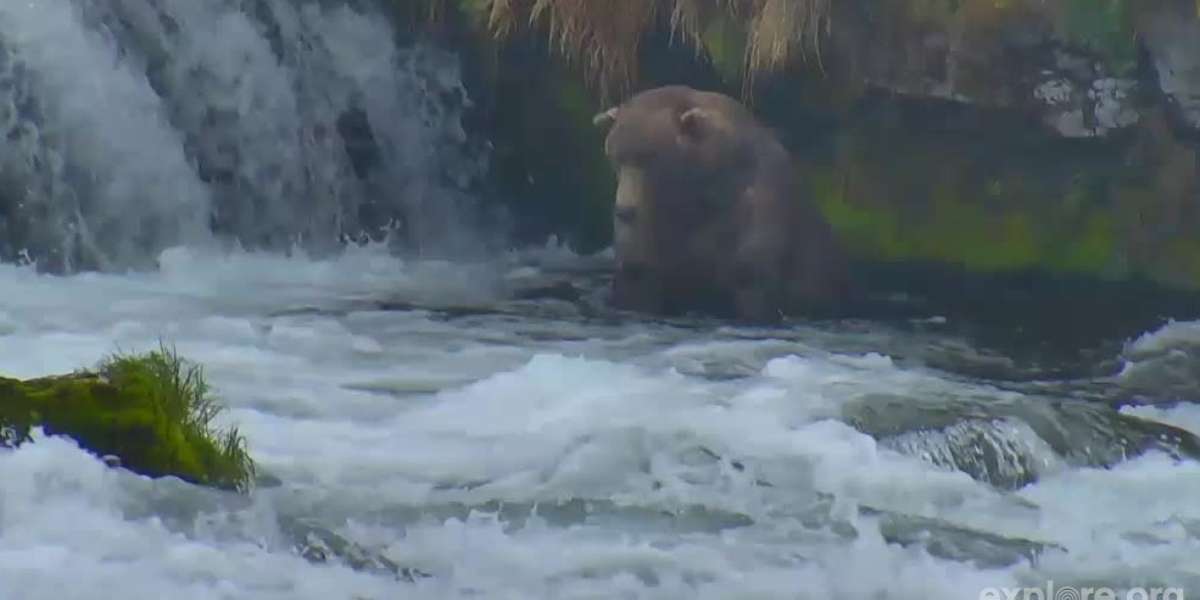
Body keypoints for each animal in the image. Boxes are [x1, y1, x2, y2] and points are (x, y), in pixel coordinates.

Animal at [591, 85, 852, 323]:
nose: (624, 209)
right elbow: (638, 273)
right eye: (615, 157)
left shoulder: (751, 202)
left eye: (648, 157)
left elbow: (750, 276)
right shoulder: (653, 224)